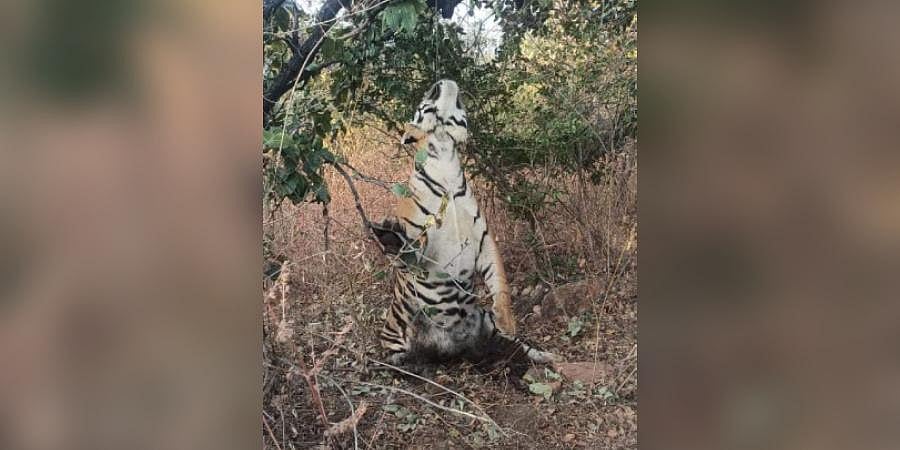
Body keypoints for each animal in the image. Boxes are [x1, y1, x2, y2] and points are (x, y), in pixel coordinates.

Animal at [371, 79, 556, 369]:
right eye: (425, 98)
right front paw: (389, 236)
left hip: (488, 327)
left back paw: (546, 356)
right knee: (400, 354)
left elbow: (501, 283)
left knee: (518, 347)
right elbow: (405, 253)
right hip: (396, 333)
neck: (446, 156)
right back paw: (413, 361)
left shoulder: (485, 241)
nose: (439, 81)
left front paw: (507, 319)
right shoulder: (421, 248)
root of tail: (457, 352)